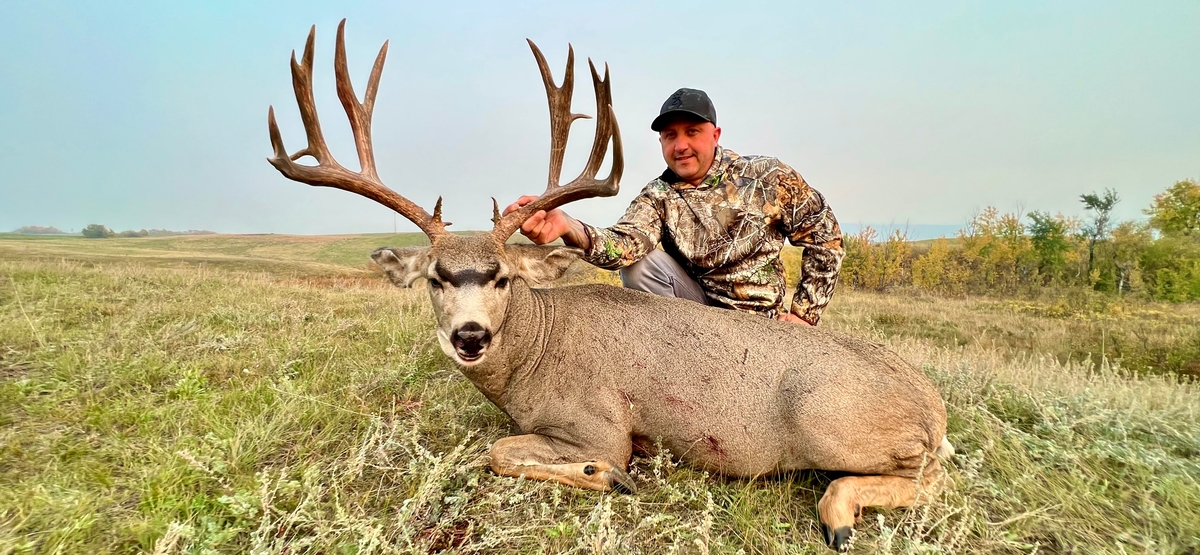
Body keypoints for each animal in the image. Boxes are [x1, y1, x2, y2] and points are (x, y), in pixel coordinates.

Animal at [265, 20, 951, 552]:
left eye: (503, 277)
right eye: (436, 278)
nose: (470, 336)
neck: (535, 356)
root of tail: (935, 409)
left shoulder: (601, 424)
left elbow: (500, 451)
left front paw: (607, 476)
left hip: (825, 420)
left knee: (931, 479)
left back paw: (838, 517)